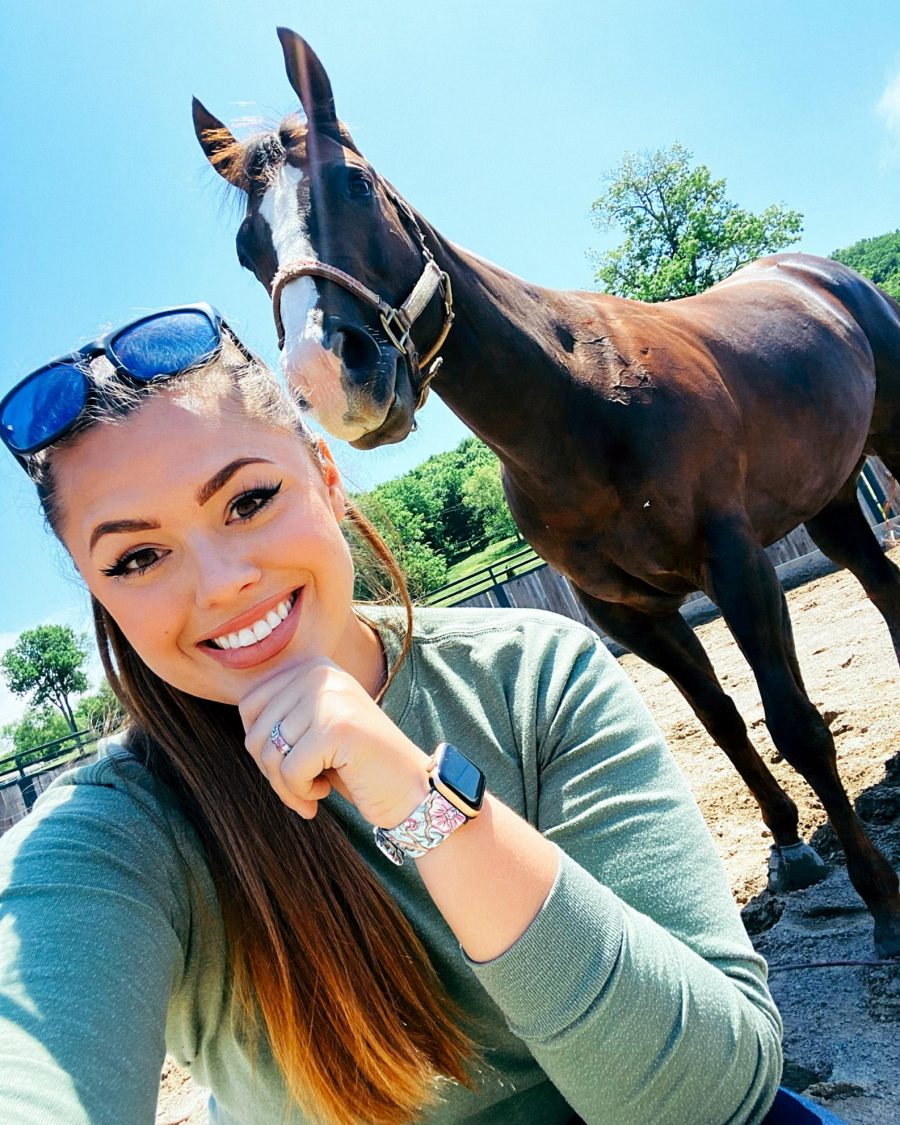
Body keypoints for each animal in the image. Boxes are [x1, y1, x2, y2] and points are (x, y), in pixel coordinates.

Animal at [192, 28, 900, 956]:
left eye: (353, 182)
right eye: (249, 247)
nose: (328, 374)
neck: (583, 400)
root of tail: (817, 274)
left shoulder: (739, 567)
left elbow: (795, 723)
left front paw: (881, 900)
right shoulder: (626, 610)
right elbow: (721, 719)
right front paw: (789, 847)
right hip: (830, 497)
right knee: (883, 584)